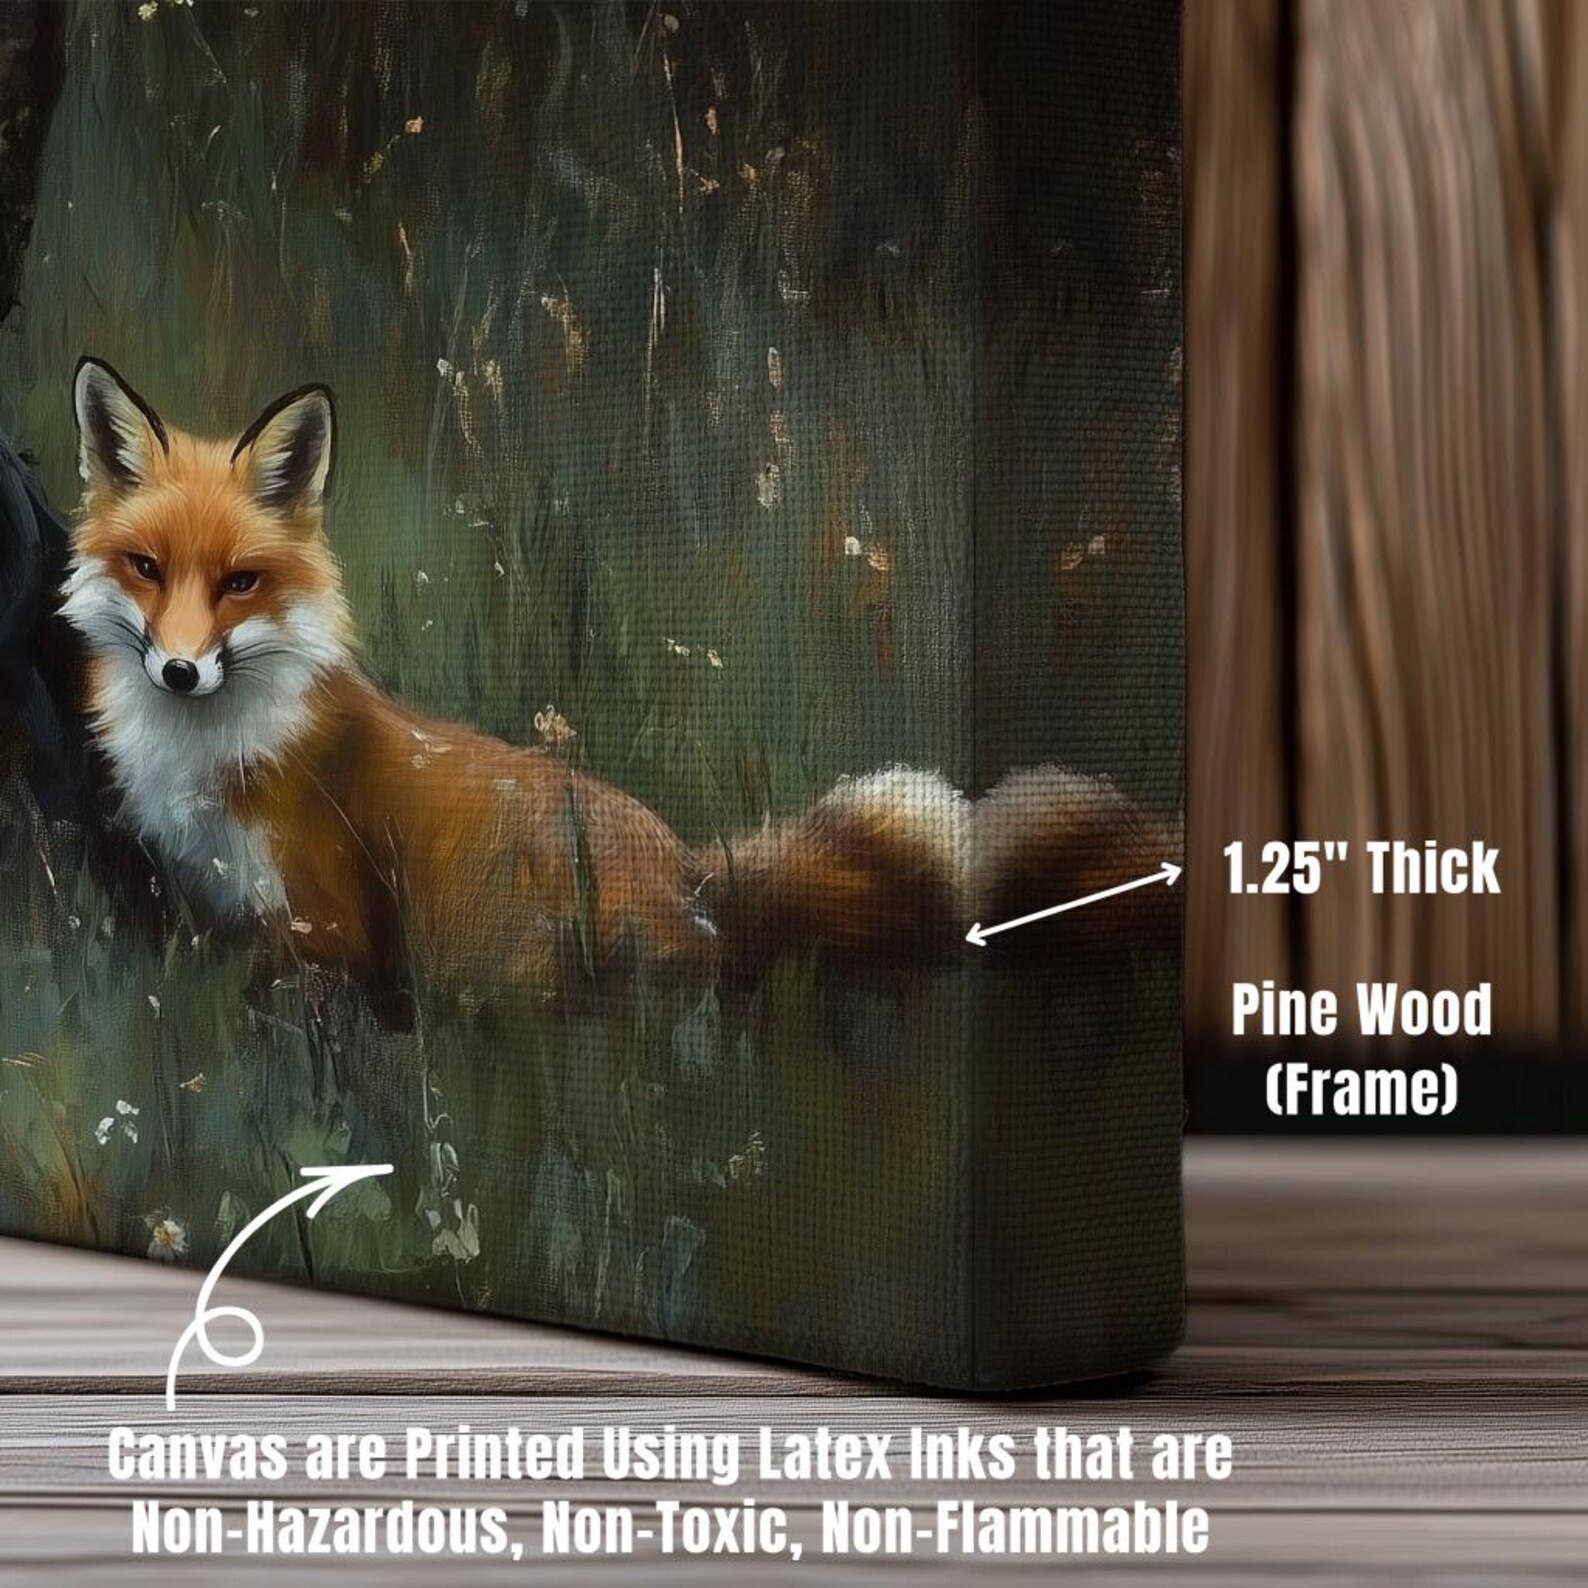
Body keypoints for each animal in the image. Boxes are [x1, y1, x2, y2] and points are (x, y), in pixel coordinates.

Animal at [57, 358, 1176, 1013]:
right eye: (148, 569)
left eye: (239, 582)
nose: (179, 668)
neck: (213, 754)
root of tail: (693, 880)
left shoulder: (325, 927)